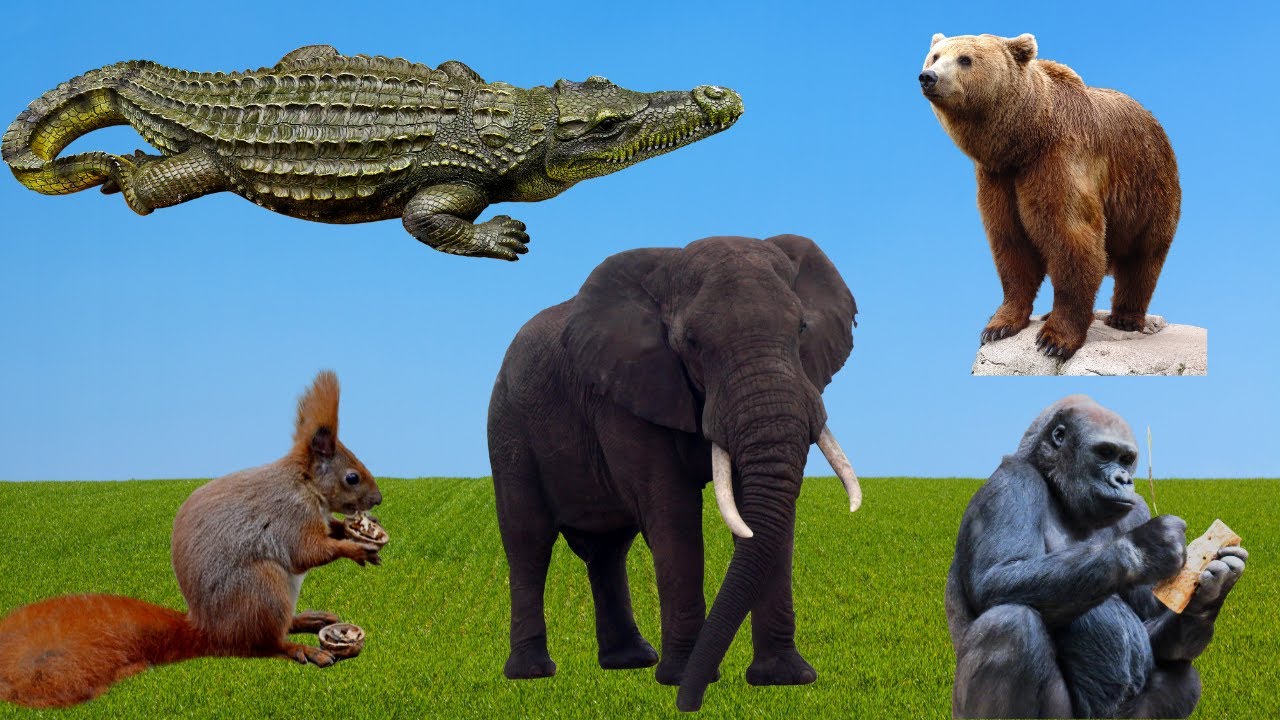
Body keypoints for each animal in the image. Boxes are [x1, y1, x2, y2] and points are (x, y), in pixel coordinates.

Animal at [0, 370, 384, 708]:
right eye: (352, 477)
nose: (378, 499)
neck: (304, 484)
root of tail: (209, 631)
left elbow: (327, 532)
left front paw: (352, 528)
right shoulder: (290, 517)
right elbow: (308, 552)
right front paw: (354, 548)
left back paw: (307, 620)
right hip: (263, 588)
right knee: (265, 644)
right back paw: (300, 648)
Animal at [487, 234, 861, 711]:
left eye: (801, 329)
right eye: (692, 343)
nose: (690, 701)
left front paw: (785, 680)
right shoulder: (626, 392)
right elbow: (673, 514)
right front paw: (681, 677)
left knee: (607, 550)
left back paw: (630, 662)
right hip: (509, 428)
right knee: (528, 542)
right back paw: (532, 673)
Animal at [920, 33, 1181, 358]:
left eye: (965, 59)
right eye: (935, 56)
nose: (928, 77)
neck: (1024, 140)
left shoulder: (1057, 162)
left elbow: (1072, 238)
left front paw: (1054, 340)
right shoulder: (998, 179)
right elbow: (1010, 243)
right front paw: (999, 326)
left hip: (1148, 190)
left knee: (1143, 258)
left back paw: (1125, 317)